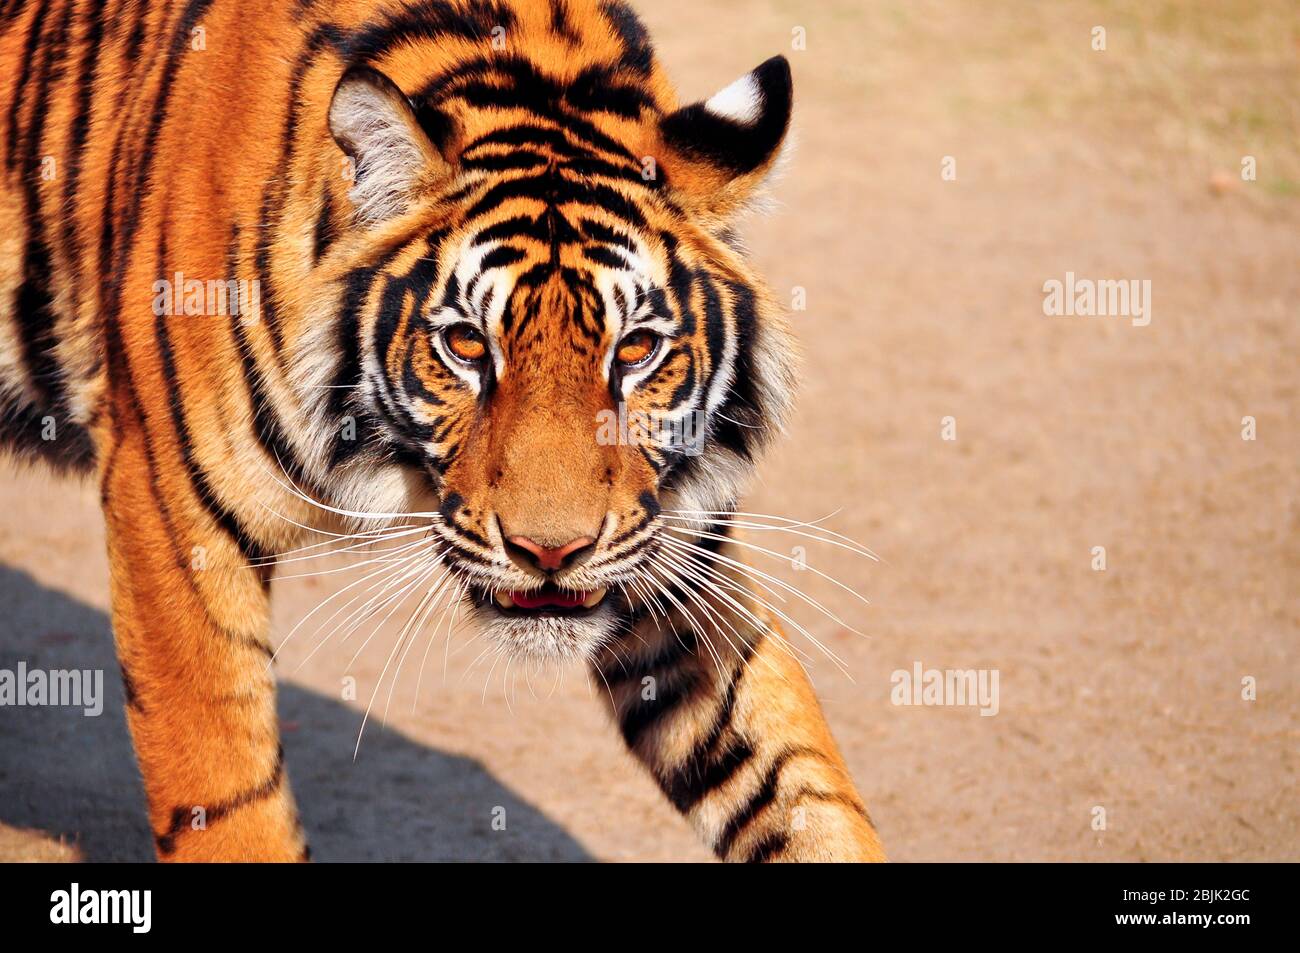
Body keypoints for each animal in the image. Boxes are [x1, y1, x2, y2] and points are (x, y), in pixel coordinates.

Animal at [0, 0, 887, 862]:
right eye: (466, 344)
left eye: (635, 350)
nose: (551, 554)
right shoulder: (173, 513)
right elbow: (226, 798)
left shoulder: (669, 549)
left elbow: (799, 781)